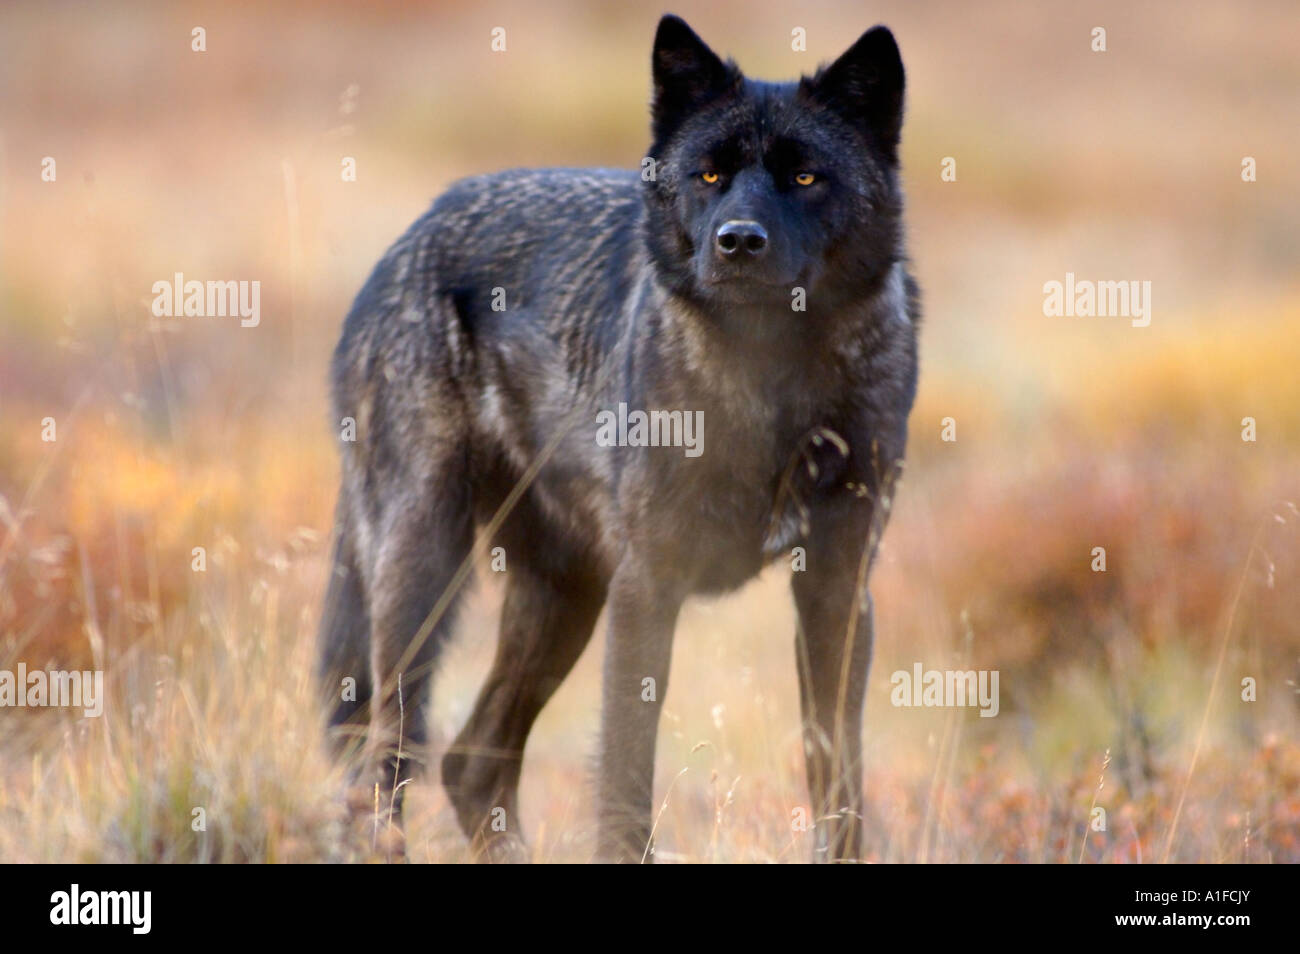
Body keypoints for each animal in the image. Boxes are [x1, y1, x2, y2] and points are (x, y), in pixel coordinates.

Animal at [318, 13, 919, 863]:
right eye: (708, 175)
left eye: (806, 178)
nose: (739, 241)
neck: (773, 387)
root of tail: (407, 238)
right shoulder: (648, 588)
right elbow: (627, 783)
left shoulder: (836, 589)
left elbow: (839, 782)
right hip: (425, 575)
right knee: (381, 770)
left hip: (564, 598)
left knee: (470, 760)